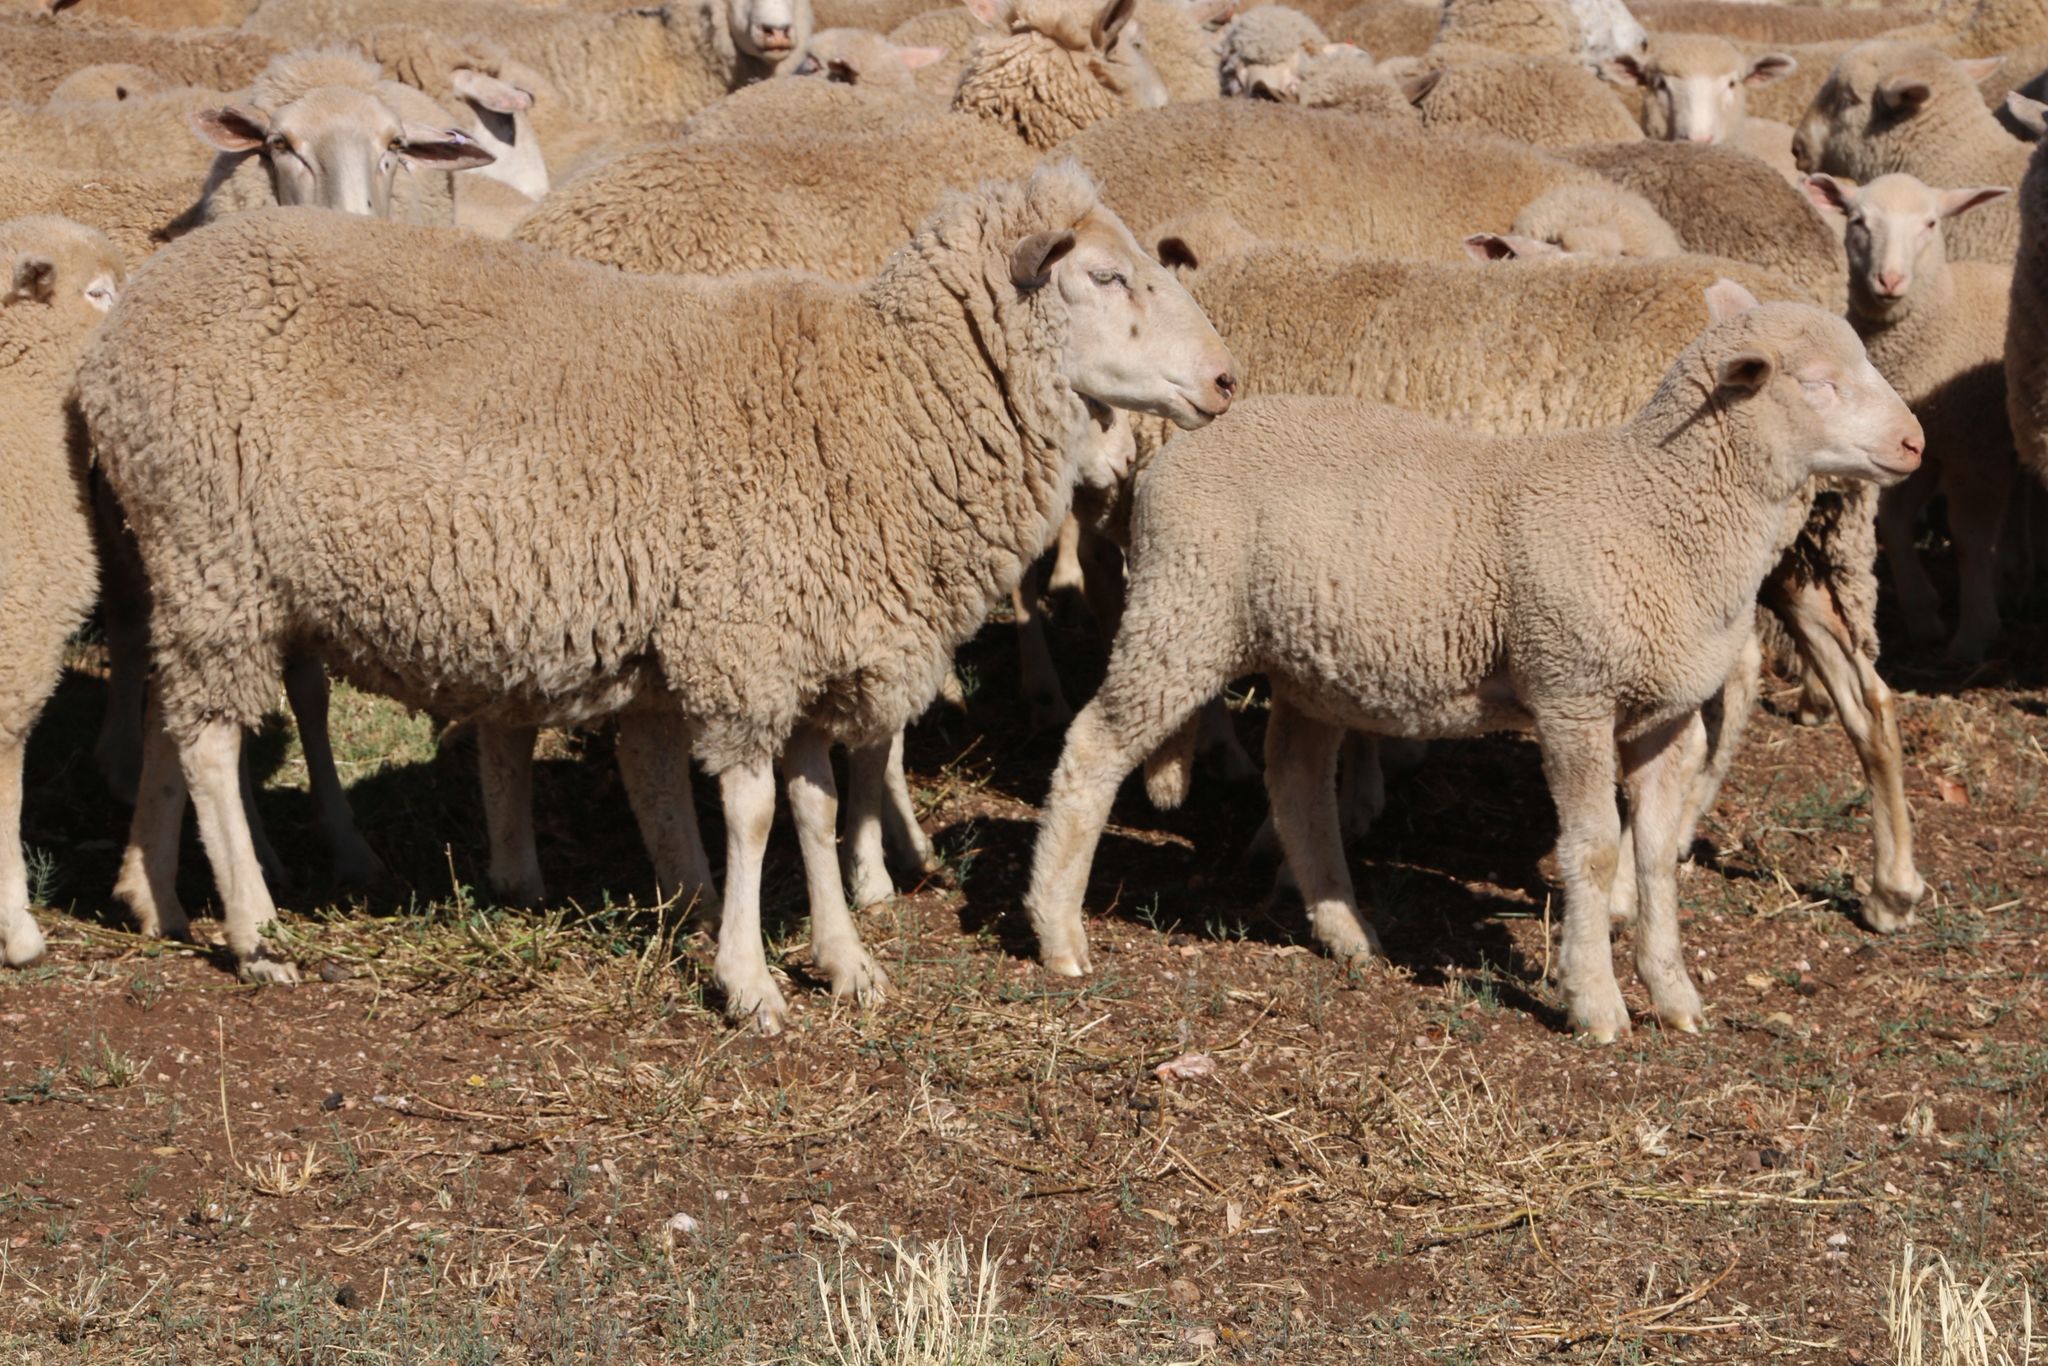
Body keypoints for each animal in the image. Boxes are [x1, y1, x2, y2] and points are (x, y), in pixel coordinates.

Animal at [78, 161, 1237, 1024]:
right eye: (1104, 277)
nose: (1227, 380)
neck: (870, 402)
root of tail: (122, 322)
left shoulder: (804, 648)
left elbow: (816, 808)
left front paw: (843, 961)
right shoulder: (744, 643)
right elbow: (756, 812)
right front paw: (751, 982)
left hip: (189, 566)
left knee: (169, 718)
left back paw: (153, 892)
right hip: (216, 555)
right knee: (211, 743)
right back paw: (255, 932)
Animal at [1023, 283, 1922, 1041]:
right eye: (1819, 384)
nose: (1915, 441)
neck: (1653, 507)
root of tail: (1174, 456)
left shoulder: (1664, 717)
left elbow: (1656, 854)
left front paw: (1674, 995)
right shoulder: (1572, 691)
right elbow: (1594, 850)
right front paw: (1596, 1003)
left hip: (1304, 657)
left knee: (1298, 780)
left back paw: (1345, 929)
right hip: (1186, 611)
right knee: (1094, 749)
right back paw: (1058, 931)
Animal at [1802, 172, 2019, 661]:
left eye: (1931, 223)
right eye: (1858, 221)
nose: (1890, 279)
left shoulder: (1977, 451)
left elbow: (1969, 539)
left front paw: (1974, 633)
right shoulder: (1916, 446)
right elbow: (1895, 523)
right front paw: (1924, 615)